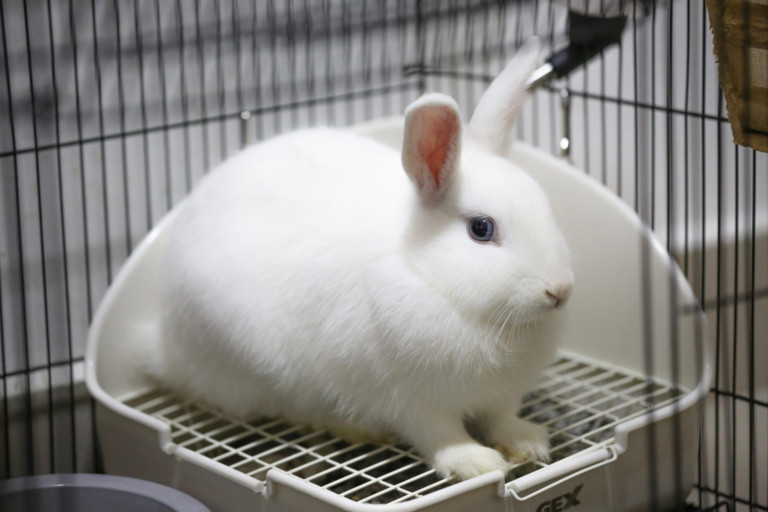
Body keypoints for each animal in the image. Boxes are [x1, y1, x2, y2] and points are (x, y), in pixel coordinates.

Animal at [149, 41, 574, 481]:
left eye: (544, 205)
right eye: (481, 229)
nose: (560, 290)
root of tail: (163, 346)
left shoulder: (501, 395)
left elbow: (501, 419)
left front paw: (527, 442)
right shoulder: (412, 400)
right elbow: (441, 435)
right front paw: (474, 463)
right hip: (251, 364)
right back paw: (353, 428)